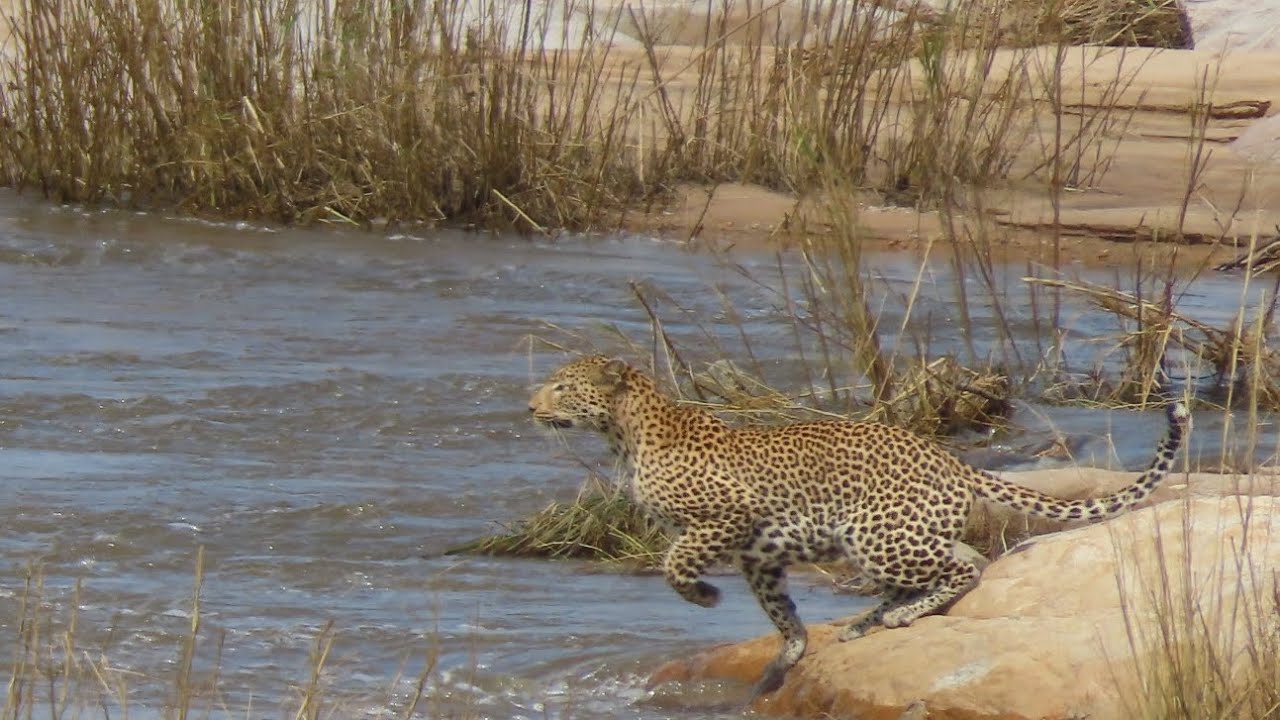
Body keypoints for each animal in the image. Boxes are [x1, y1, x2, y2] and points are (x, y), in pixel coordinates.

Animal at [527, 355, 1189, 700]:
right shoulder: (758, 554)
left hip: (877, 535)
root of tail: (951, 459)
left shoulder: (726, 517)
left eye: (561, 385)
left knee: (966, 565)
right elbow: (778, 606)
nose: (531, 407)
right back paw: (866, 623)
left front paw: (704, 595)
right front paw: (790, 651)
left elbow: (673, 562)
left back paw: (895, 616)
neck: (625, 433)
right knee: (930, 574)